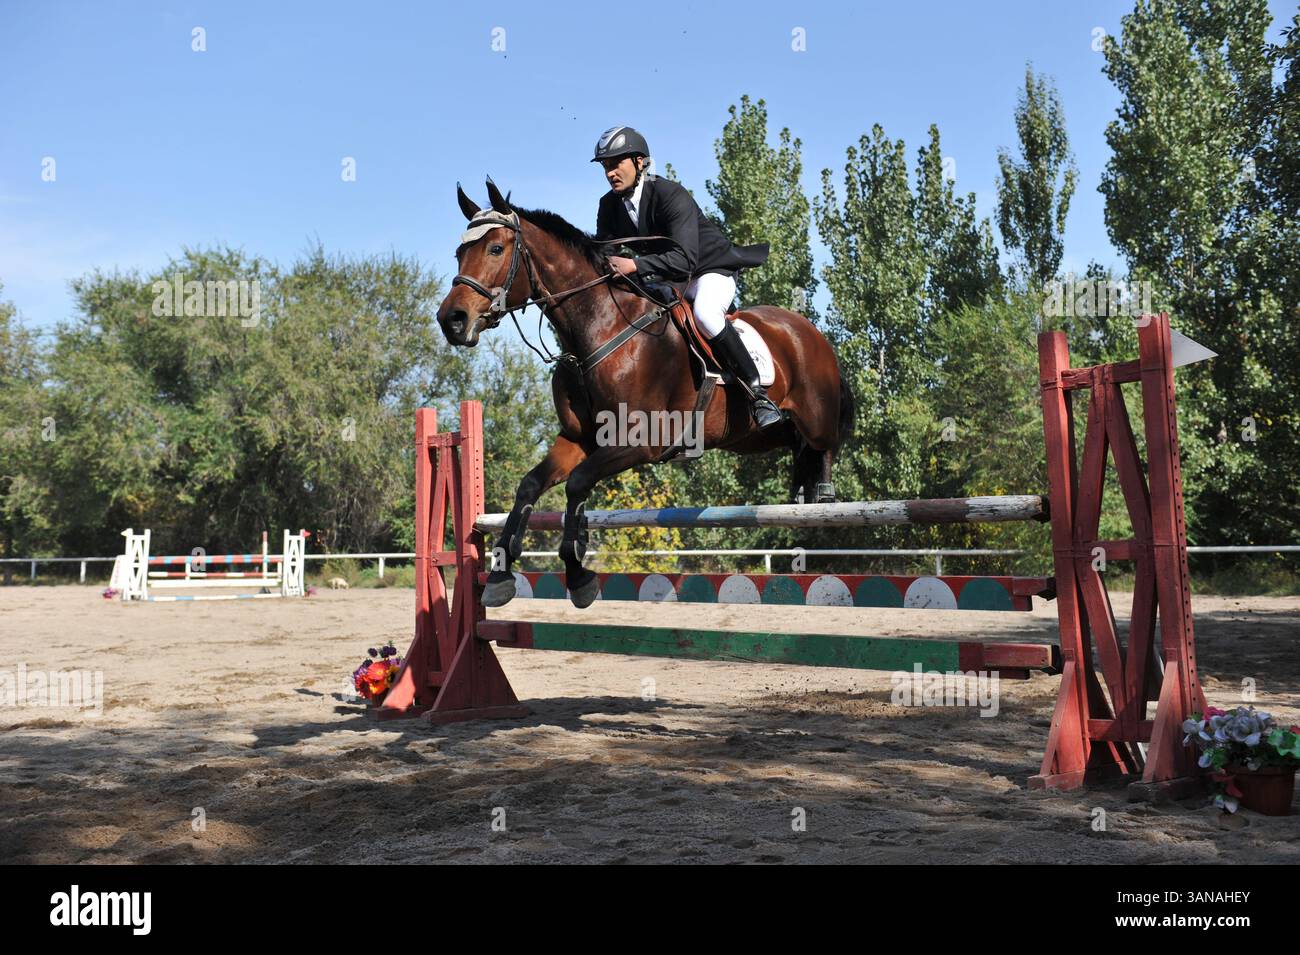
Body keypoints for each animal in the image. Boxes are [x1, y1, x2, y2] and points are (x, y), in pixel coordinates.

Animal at [438, 179, 854, 608]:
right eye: (459, 253)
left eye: (496, 248)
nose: (452, 320)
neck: (597, 326)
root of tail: (807, 329)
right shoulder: (578, 439)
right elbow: (531, 485)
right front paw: (501, 576)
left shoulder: (638, 441)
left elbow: (577, 483)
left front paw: (579, 575)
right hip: (750, 436)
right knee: (794, 440)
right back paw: (801, 490)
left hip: (814, 414)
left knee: (824, 442)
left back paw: (822, 494)